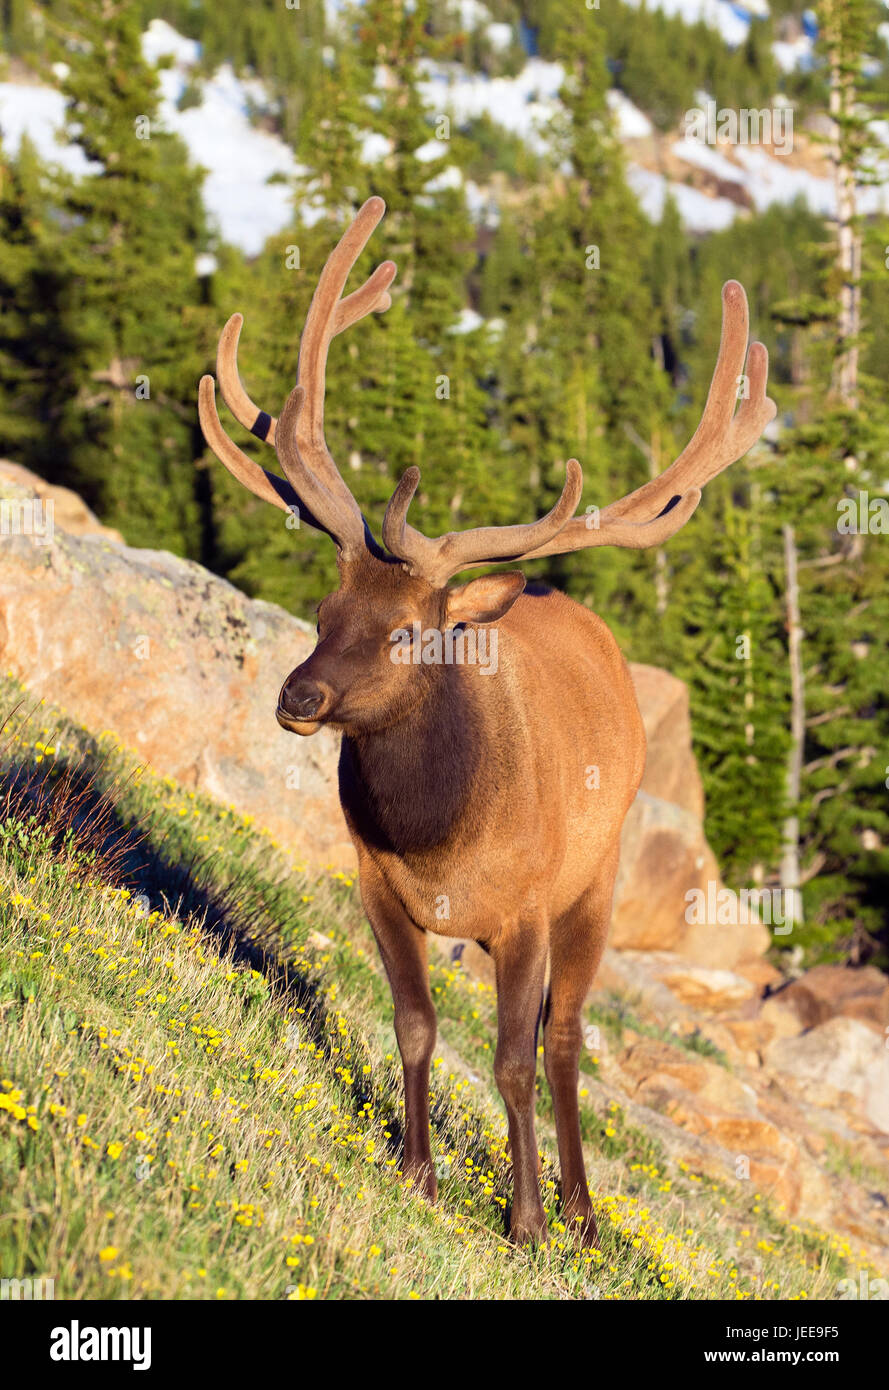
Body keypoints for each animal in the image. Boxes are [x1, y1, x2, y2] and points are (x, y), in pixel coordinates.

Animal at [198, 197, 775, 1247]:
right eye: (324, 610)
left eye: (408, 631)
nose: (298, 697)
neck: (434, 837)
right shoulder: (376, 884)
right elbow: (415, 1025)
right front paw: (419, 1176)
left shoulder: (525, 910)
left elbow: (514, 1058)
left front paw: (527, 1221)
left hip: (596, 879)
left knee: (565, 1037)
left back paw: (582, 1212)